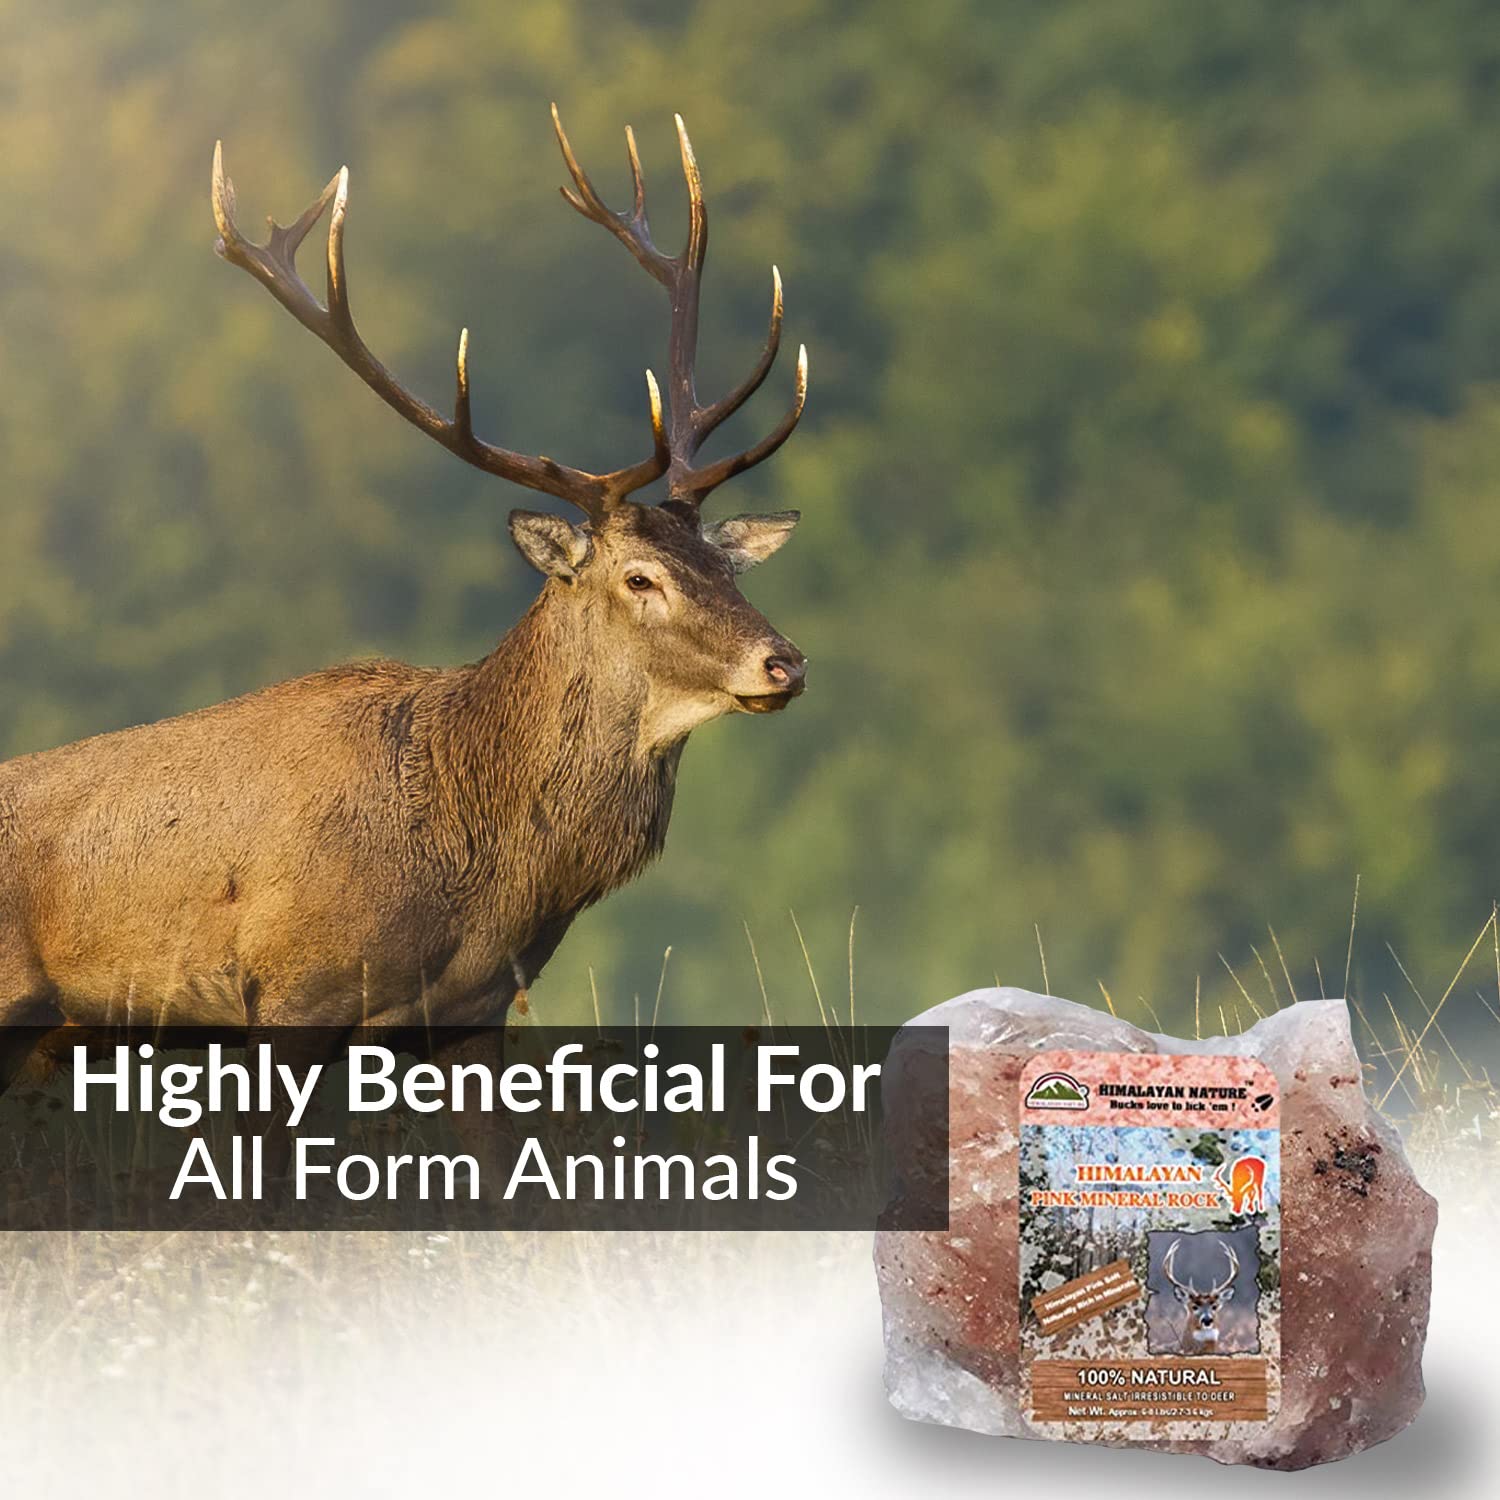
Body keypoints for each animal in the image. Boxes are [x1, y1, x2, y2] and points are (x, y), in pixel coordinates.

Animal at [0, 105, 809, 1089]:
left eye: (729, 569)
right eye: (639, 577)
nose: (784, 662)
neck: (479, 869)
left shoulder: (474, 1008)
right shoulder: (290, 989)